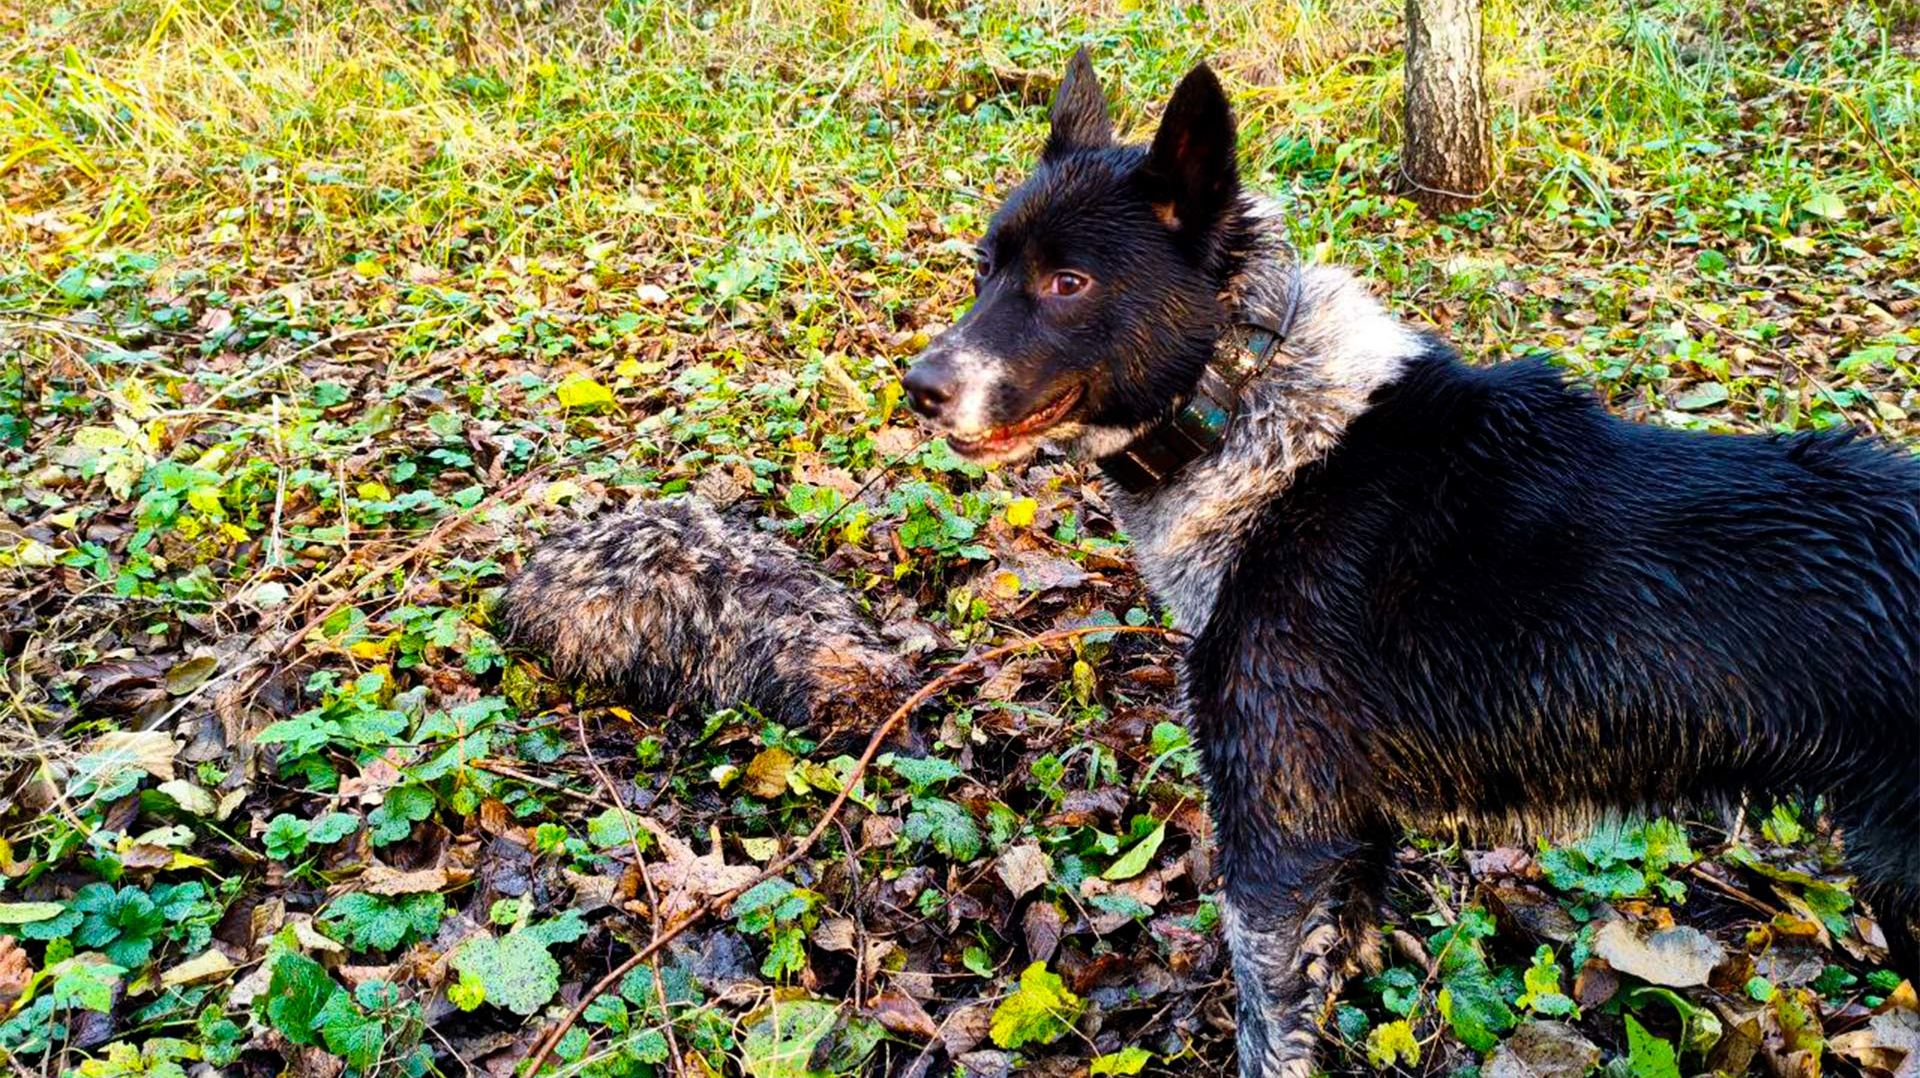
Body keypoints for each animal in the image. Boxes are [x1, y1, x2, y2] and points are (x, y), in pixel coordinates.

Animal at [506, 50, 1920, 1078]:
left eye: (1069, 281)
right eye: (987, 266)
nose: (918, 386)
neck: (1253, 414)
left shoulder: (1276, 834)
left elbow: (1266, 1024)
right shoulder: (1347, 835)